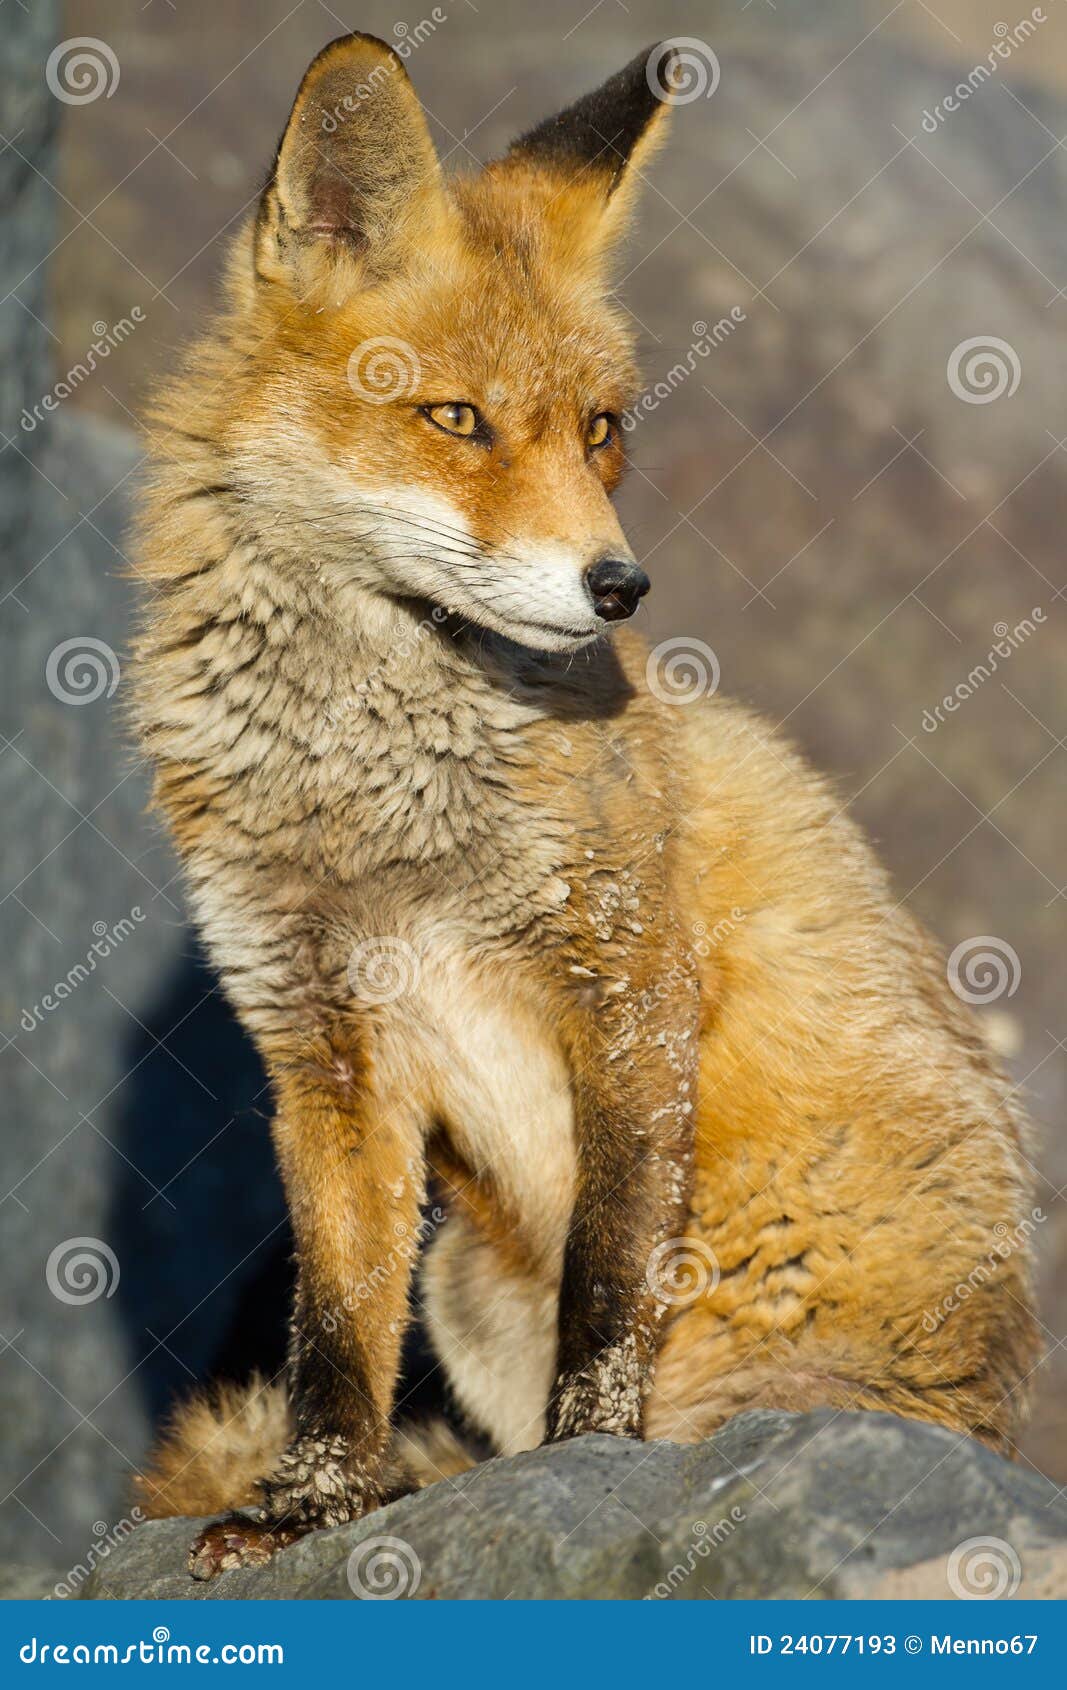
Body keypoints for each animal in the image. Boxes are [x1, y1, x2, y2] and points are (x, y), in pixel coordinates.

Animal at [130, 33, 1039, 1579]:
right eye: (456, 418)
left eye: (600, 430)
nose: (619, 586)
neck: (375, 816)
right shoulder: (318, 1047)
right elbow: (333, 1333)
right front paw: (313, 1508)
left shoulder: (623, 980)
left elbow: (612, 1280)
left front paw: (587, 1461)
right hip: (458, 1272)